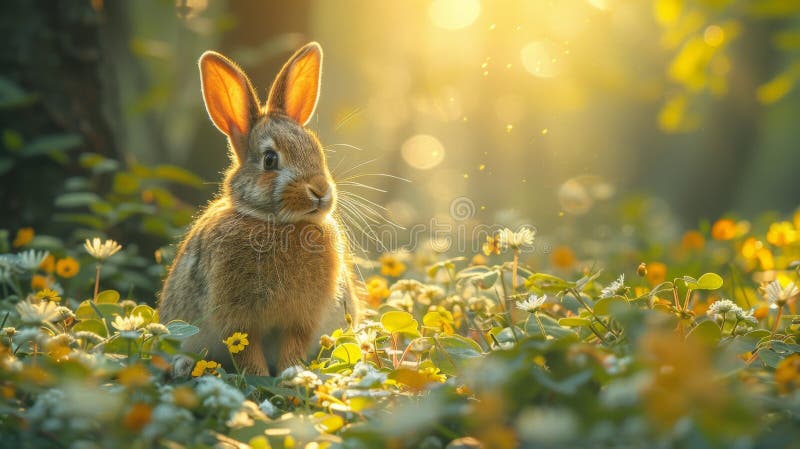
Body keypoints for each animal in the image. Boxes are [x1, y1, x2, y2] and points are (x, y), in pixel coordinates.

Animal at [159, 42, 360, 376]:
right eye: (269, 159)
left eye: (317, 151)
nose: (320, 191)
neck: (276, 223)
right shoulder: (236, 318)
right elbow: (246, 350)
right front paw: (260, 377)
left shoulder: (302, 318)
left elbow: (293, 346)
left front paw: (293, 373)